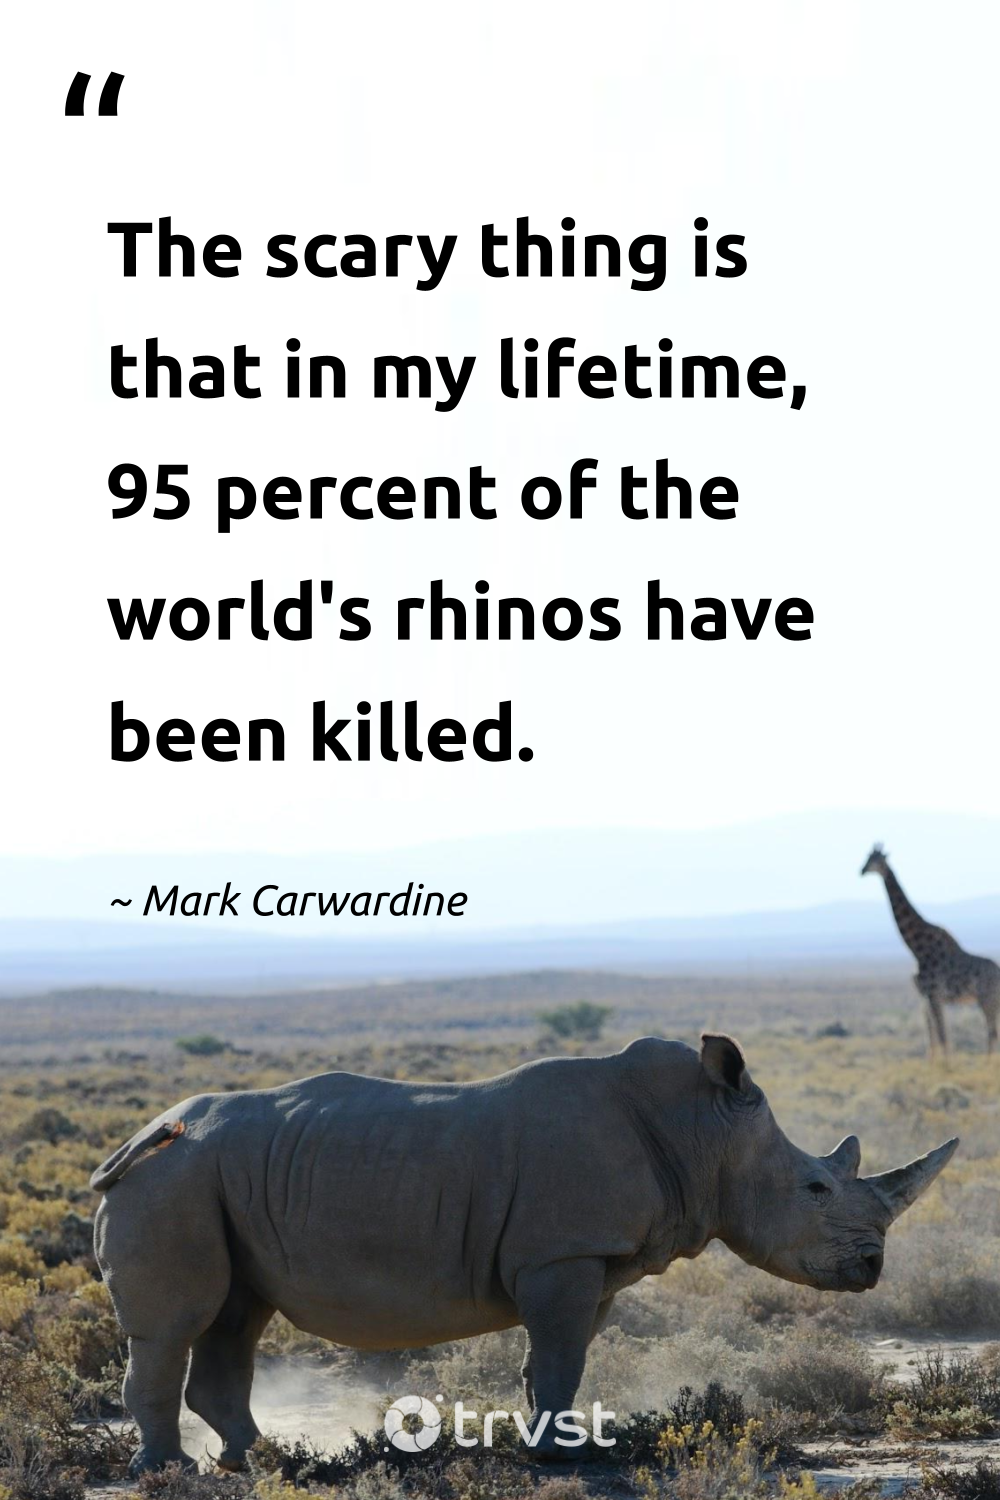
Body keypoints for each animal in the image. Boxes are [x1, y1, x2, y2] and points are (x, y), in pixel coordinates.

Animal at [91, 1034, 957, 1473]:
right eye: (816, 1186)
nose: (873, 1269)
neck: (702, 1129)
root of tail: (141, 1135)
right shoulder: (561, 1255)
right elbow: (561, 1354)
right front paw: (559, 1459)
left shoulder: (587, 1261)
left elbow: (559, 1358)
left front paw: (558, 1443)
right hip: (173, 1180)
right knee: (179, 1324)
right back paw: (172, 1475)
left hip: (208, 1180)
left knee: (237, 1316)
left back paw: (261, 1461)